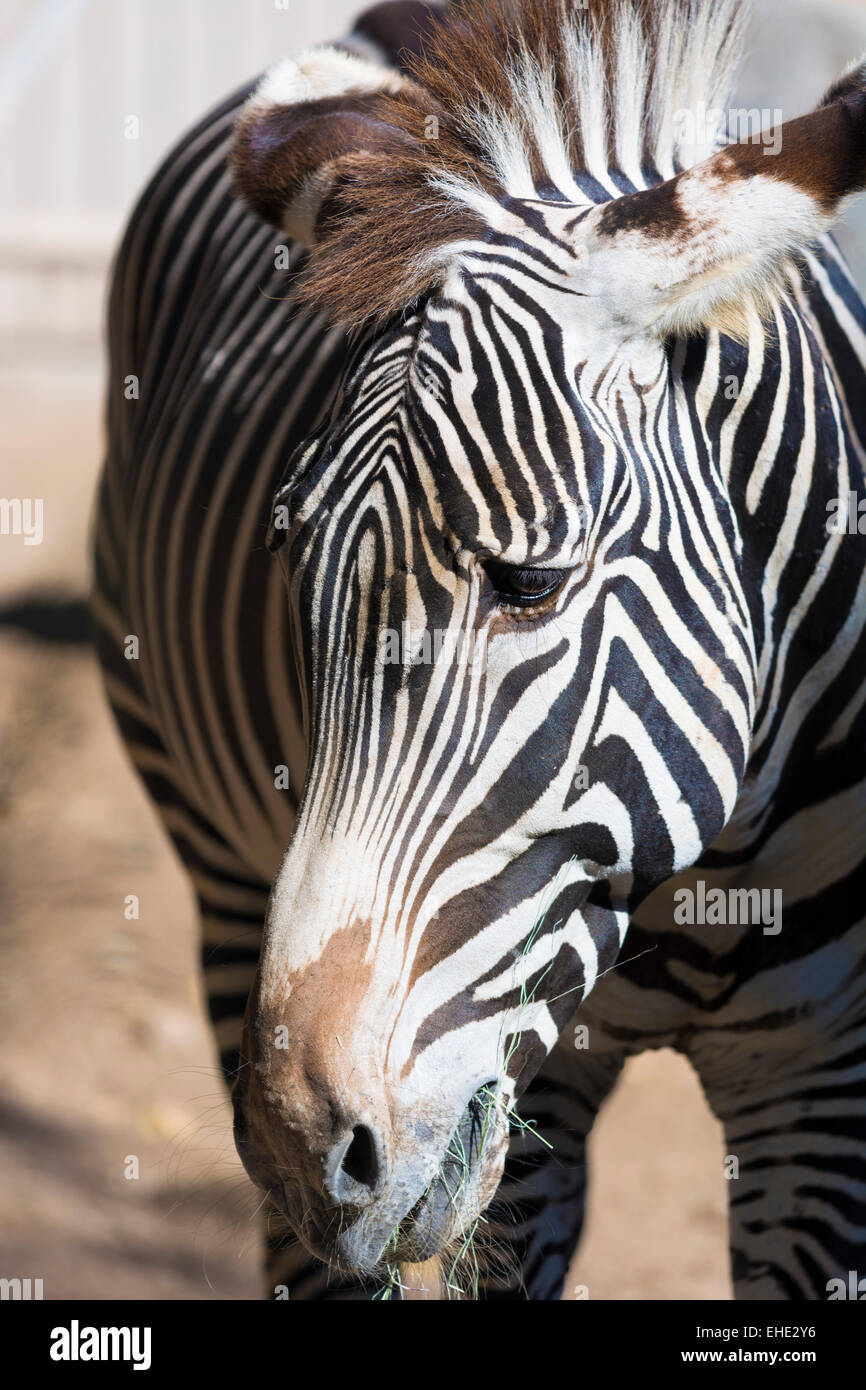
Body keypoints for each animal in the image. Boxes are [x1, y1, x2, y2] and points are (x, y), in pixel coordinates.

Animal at [92, 0, 866, 1300]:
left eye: (528, 582)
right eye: (288, 562)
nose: (300, 1144)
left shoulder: (820, 1078)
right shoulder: (514, 1096)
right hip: (217, 878)